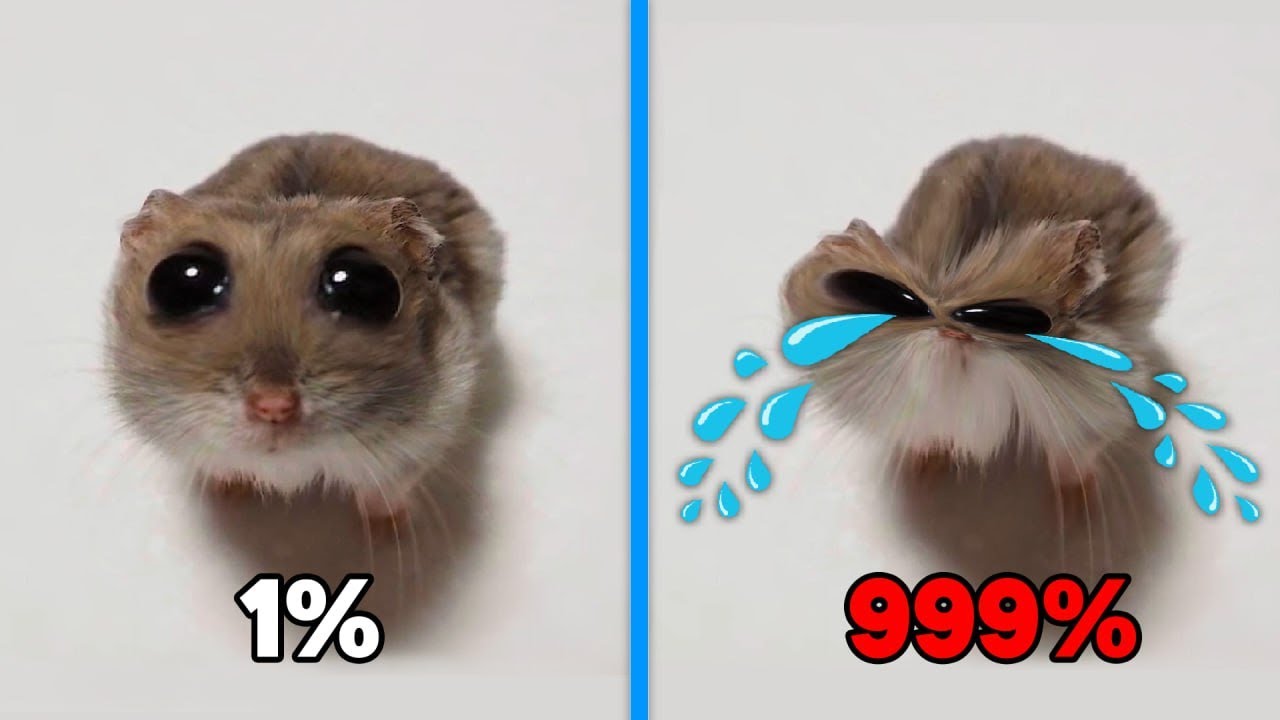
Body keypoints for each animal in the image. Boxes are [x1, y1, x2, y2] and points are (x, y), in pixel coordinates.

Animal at [105, 133, 504, 526]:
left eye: (365, 288)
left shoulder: (430, 430)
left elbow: (388, 487)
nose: (273, 406)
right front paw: (229, 492)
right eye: (182, 284)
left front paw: (390, 525)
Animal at [781, 136, 1179, 496]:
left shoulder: (1093, 410)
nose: (954, 336)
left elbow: (1072, 453)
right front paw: (922, 471)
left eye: (1013, 318)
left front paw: (1079, 499)